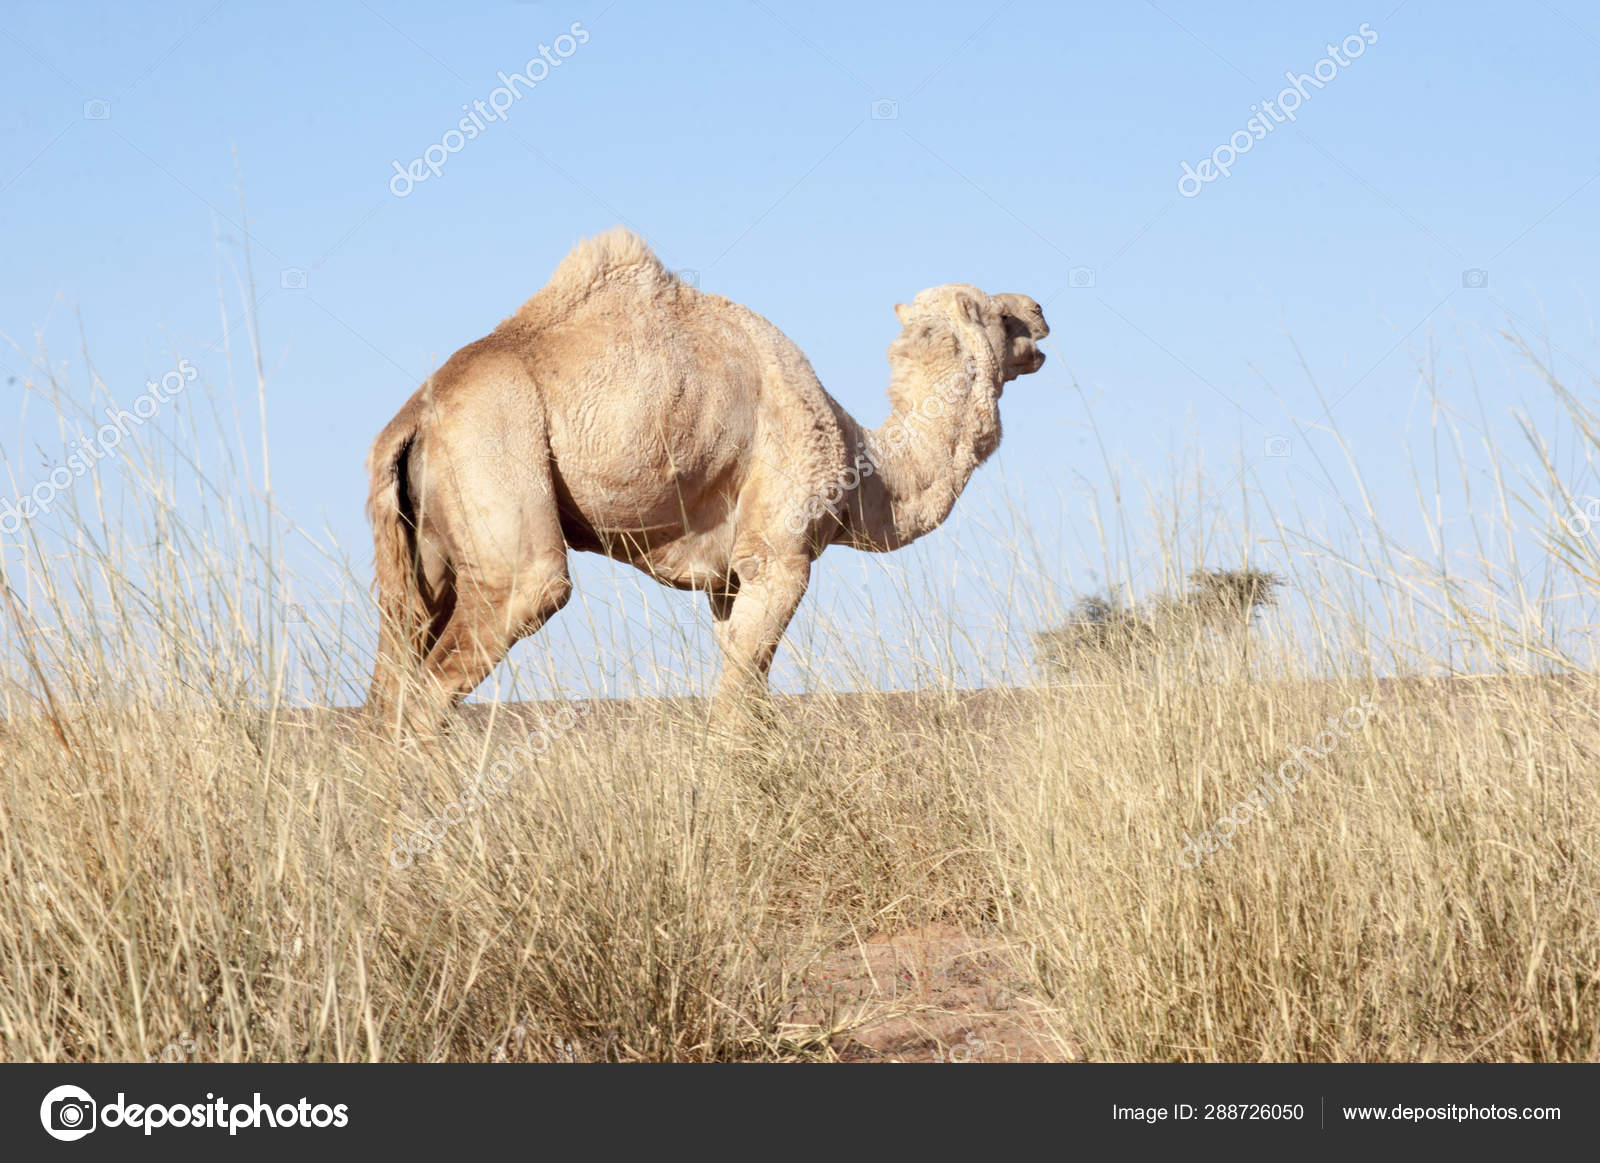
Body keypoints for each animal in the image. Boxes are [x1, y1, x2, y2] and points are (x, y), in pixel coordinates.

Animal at [365, 227, 1049, 730]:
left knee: (390, 683)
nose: (1039, 309)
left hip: (422, 556)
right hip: (497, 472)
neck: (863, 465)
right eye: (997, 314)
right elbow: (735, 706)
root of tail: (412, 419)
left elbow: (746, 689)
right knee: (446, 678)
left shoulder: (727, 580)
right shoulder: (779, 555)